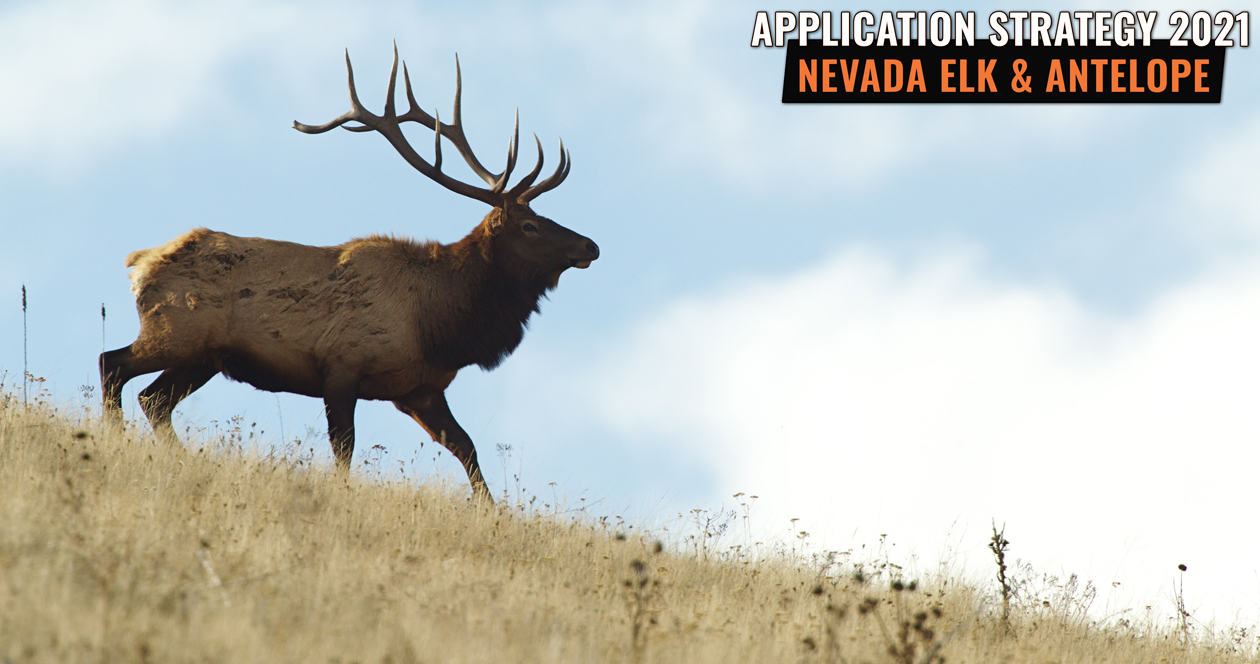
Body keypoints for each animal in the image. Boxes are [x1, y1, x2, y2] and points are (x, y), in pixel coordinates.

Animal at [99, 46, 599, 501]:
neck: (439, 324)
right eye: (530, 226)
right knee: (113, 365)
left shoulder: (420, 389)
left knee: (154, 400)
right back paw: (114, 438)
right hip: (174, 332)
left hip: (201, 356)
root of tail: (138, 262)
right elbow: (345, 449)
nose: (590, 245)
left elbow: (467, 447)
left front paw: (492, 511)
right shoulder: (342, 365)